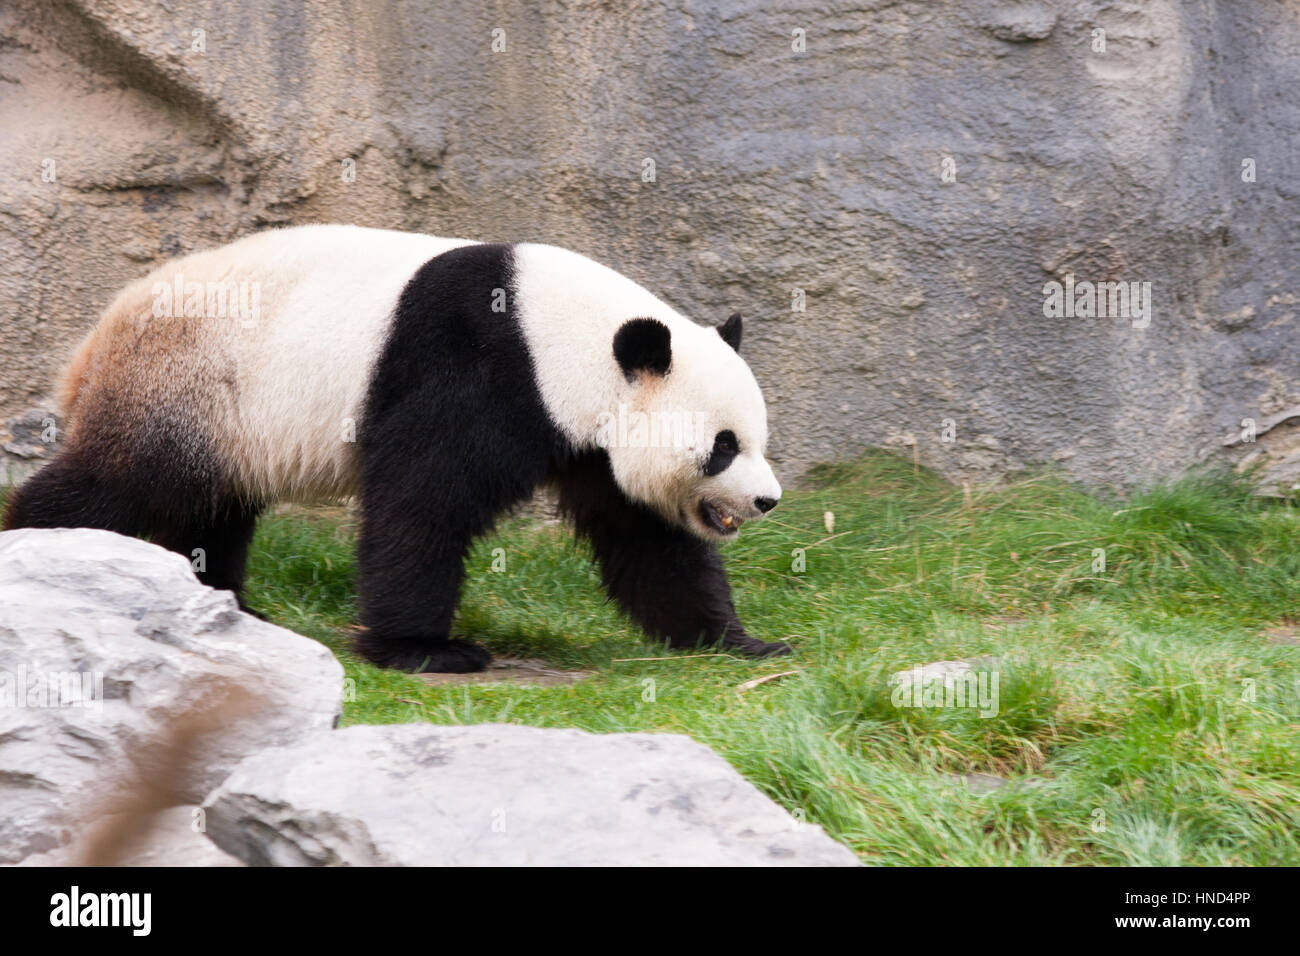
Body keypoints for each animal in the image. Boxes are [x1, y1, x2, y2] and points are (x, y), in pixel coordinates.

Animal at [2, 224, 789, 672]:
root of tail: (96, 338)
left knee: (213, 509)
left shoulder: (587, 439)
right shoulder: (480, 365)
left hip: (224, 417)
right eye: (722, 446)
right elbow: (423, 501)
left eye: (756, 439)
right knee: (125, 484)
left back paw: (231, 606)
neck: (569, 339)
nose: (767, 500)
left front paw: (739, 642)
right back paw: (43, 552)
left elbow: (646, 537)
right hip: (187, 381)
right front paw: (428, 649)